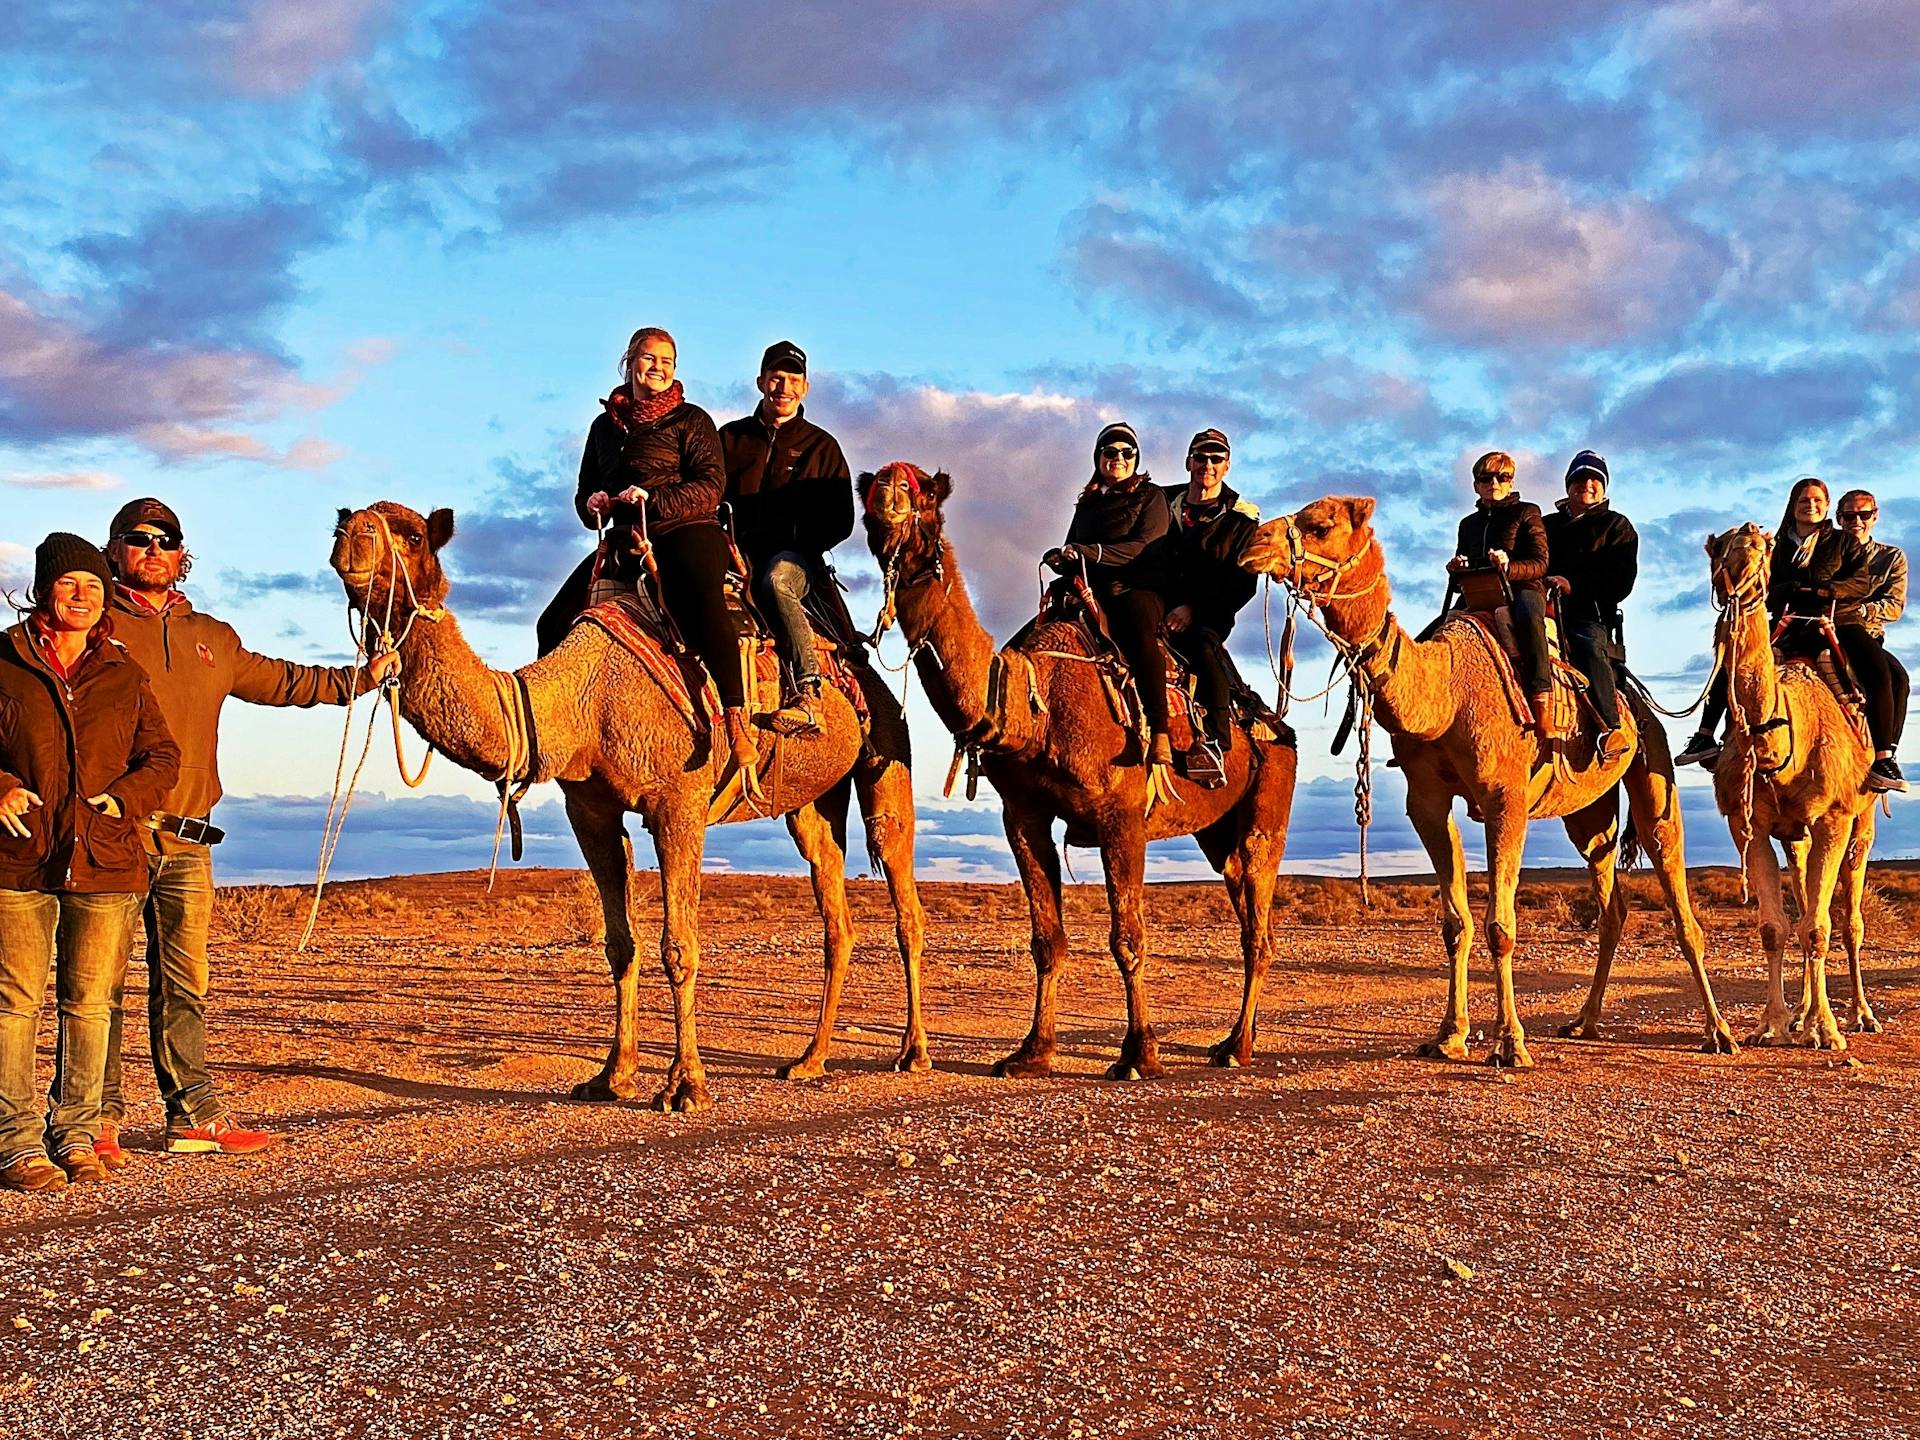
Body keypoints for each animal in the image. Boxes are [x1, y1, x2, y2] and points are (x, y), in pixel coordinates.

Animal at [329, 502, 930, 1111]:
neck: (586, 700)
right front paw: (611, 1074)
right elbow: (620, 944)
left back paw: (913, 1053)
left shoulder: (678, 803)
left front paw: (685, 1085)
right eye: (350, 517)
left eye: (412, 535)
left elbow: (679, 947)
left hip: (888, 747)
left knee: (900, 885)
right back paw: (810, 1059)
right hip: (812, 802)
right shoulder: (590, 813)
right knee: (834, 907)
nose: (348, 534)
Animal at [859, 464, 1299, 1077]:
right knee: (1240, 896)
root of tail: (1271, 721)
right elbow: (1047, 939)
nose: (886, 497)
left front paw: (1138, 1053)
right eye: (870, 498)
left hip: (1269, 803)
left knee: (1259, 923)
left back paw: (1236, 1046)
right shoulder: (1024, 816)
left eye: (921, 494)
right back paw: (1233, 1041)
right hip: (1217, 832)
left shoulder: (1122, 818)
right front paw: (1031, 1051)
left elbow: (1128, 939)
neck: (1033, 701)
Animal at [1241, 496, 1737, 1065]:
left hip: (1652, 767)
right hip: (1587, 811)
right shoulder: (1427, 800)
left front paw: (1510, 1043)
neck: (1446, 691)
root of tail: (1631, 694)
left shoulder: (1505, 797)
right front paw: (1448, 1036)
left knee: (1677, 893)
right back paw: (1584, 1022)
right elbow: (1456, 923)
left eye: (1321, 525)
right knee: (1610, 898)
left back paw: (1719, 1033)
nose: (1253, 544)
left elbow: (1501, 926)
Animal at [1705, 524, 1879, 1048]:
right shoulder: (1750, 825)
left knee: (1849, 919)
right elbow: (1775, 928)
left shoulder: (1833, 819)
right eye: (1718, 551)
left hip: (1861, 821)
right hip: (1795, 836)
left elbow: (1820, 927)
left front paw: (1826, 1030)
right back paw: (1803, 1014)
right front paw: (1774, 1024)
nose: (1738, 587)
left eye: (1761, 550)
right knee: (1802, 900)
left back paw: (1860, 1015)